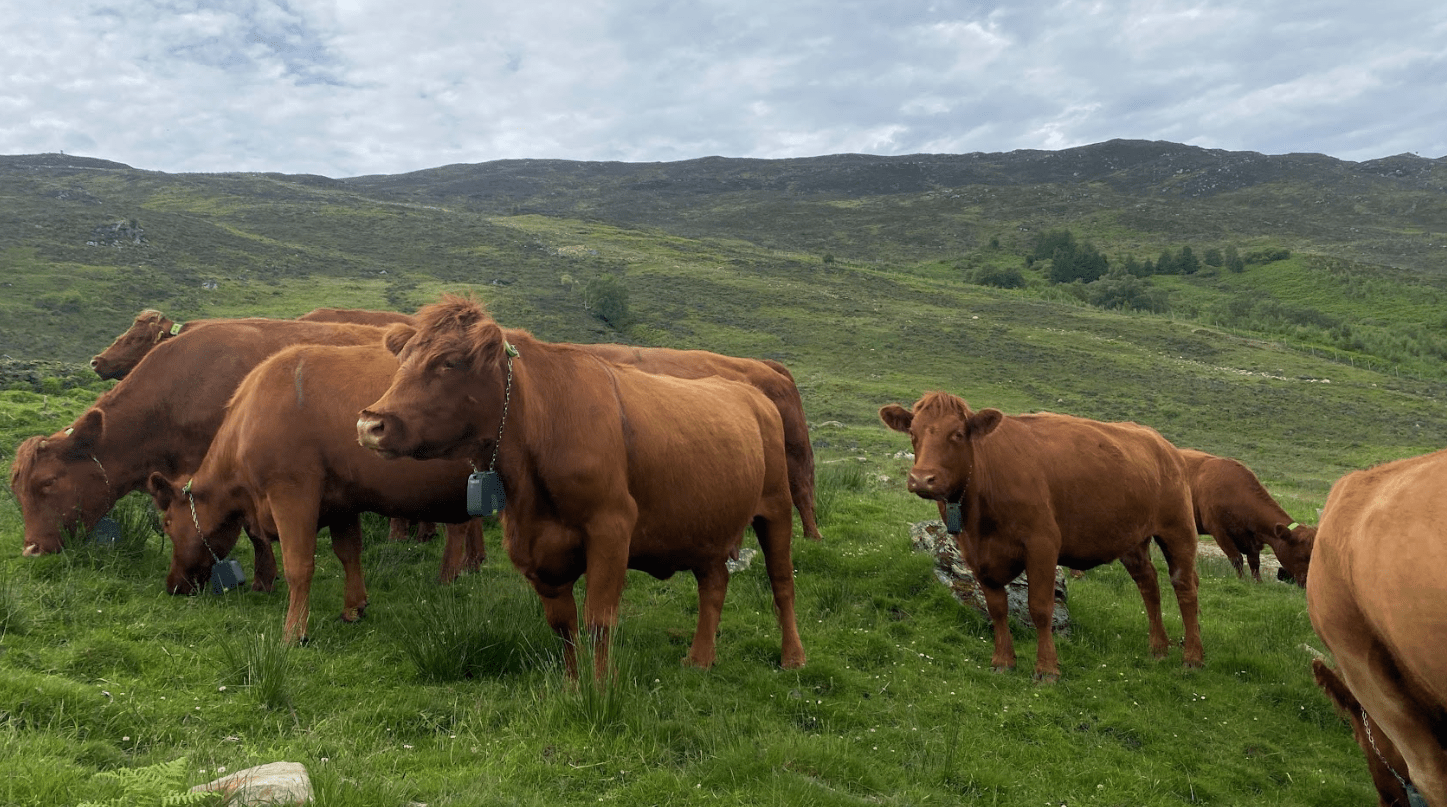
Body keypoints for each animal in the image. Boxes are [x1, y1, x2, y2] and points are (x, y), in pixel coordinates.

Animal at [147, 342, 487, 643]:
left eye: (167, 523)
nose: (172, 586)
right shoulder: (342, 503)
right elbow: (349, 552)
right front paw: (353, 608)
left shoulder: (292, 493)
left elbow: (298, 566)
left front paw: (294, 633)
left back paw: (448, 577)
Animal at [355, 295, 806, 679]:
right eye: (403, 361)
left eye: (449, 362)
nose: (369, 424)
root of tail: (751, 393)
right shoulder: (532, 545)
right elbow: (563, 625)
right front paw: (574, 686)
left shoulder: (611, 529)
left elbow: (598, 621)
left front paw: (603, 691)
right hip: (706, 524)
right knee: (714, 583)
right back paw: (699, 659)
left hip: (776, 509)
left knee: (782, 582)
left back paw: (793, 657)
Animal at [879, 392, 1203, 682]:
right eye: (913, 432)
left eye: (957, 434)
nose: (922, 478)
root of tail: (1164, 445)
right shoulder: (975, 553)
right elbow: (997, 608)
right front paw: (1003, 661)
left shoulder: (1042, 544)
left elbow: (1040, 608)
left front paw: (1047, 669)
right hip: (1132, 540)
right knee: (1149, 585)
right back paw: (1158, 649)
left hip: (1178, 530)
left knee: (1185, 587)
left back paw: (1193, 658)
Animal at [1179, 448, 1315, 586]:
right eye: (1304, 556)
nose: (1309, 583)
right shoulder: (1218, 530)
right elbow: (1236, 558)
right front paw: (1242, 580)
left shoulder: (1251, 539)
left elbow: (1254, 562)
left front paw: (1258, 582)